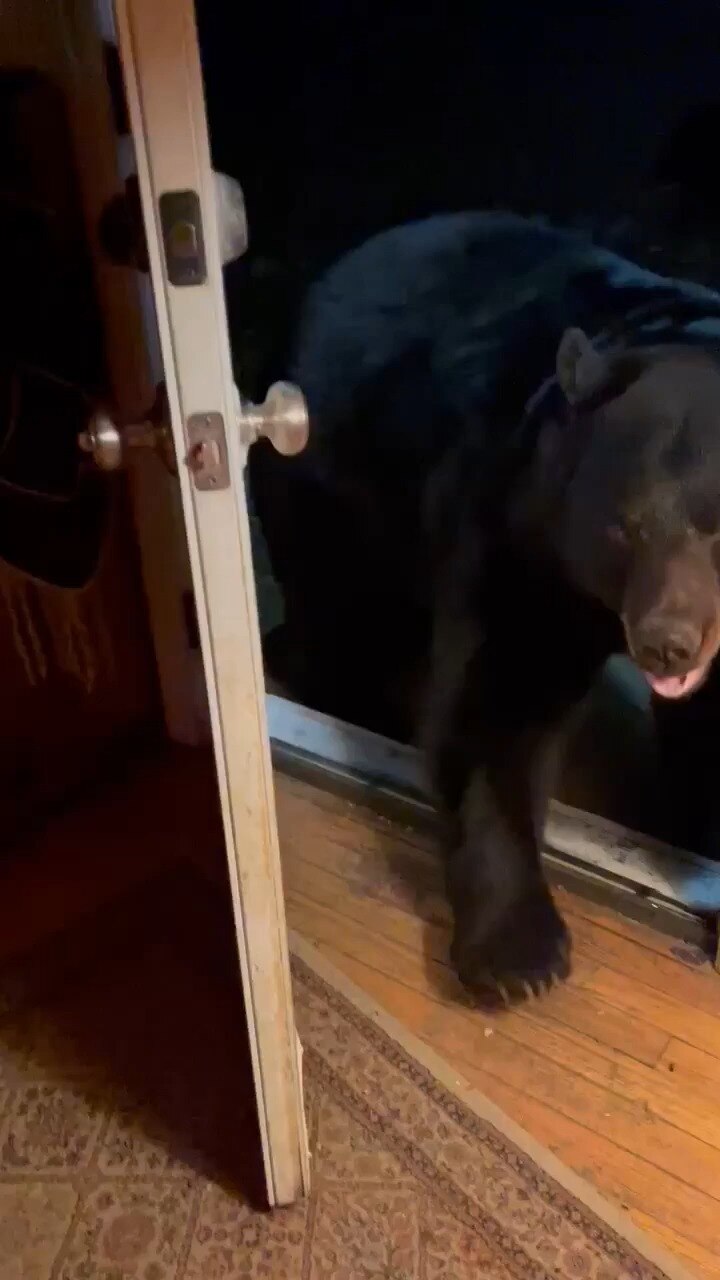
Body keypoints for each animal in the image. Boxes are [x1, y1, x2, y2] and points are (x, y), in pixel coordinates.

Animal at [249, 212, 720, 1003]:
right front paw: (518, 954)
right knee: (343, 618)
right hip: (335, 479)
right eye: (621, 526)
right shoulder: (518, 526)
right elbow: (500, 692)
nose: (667, 644)